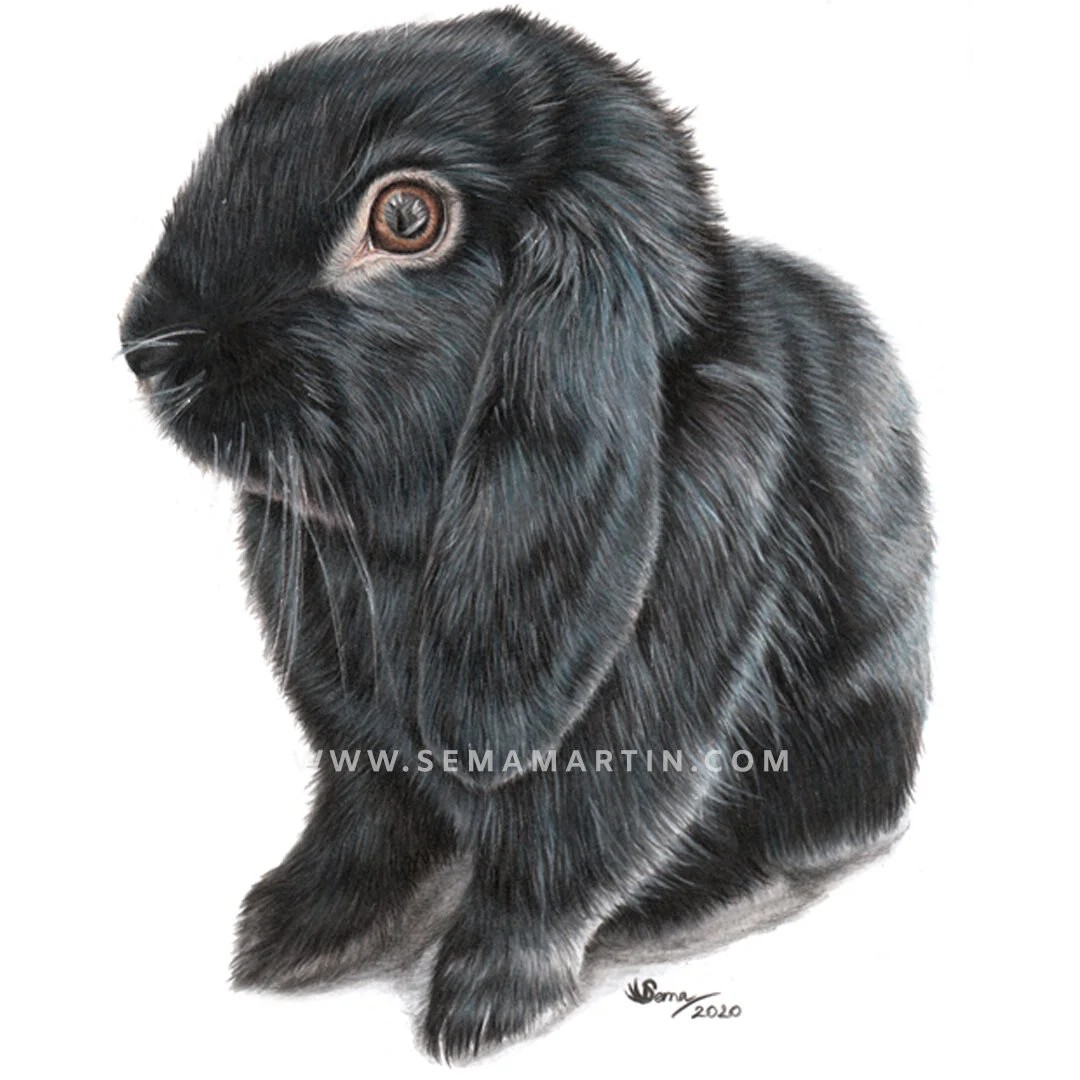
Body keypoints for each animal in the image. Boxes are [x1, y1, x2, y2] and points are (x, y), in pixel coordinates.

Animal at [120, 7, 932, 1061]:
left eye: (407, 219)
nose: (147, 346)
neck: (399, 539)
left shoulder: (636, 729)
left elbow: (560, 859)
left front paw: (480, 1009)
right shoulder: (354, 746)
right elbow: (363, 825)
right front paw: (284, 937)